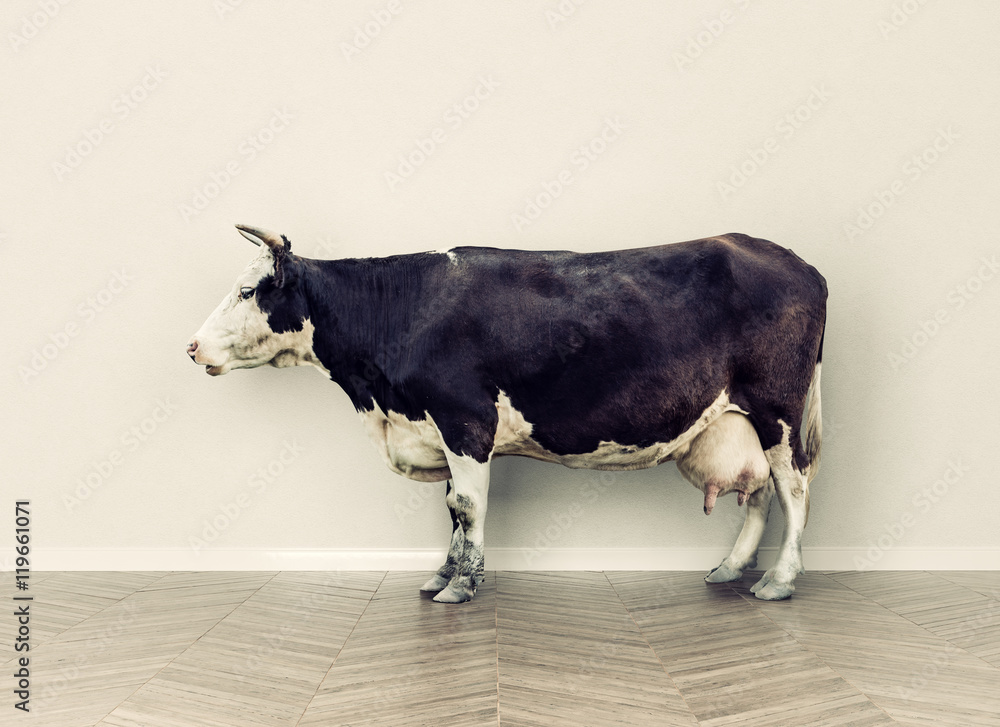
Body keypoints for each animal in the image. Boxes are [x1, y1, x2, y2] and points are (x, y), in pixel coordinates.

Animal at [187, 225, 827, 603]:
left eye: (248, 291)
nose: (192, 347)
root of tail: (790, 257)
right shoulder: (435, 429)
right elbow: (452, 508)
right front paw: (442, 575)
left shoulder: (464, 419)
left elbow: (469, 505)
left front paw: (462, 586)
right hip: (740, 419)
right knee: (758, 490)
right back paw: (731, 568)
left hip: (779, 409)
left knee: (793, 488)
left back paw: (778, 581)